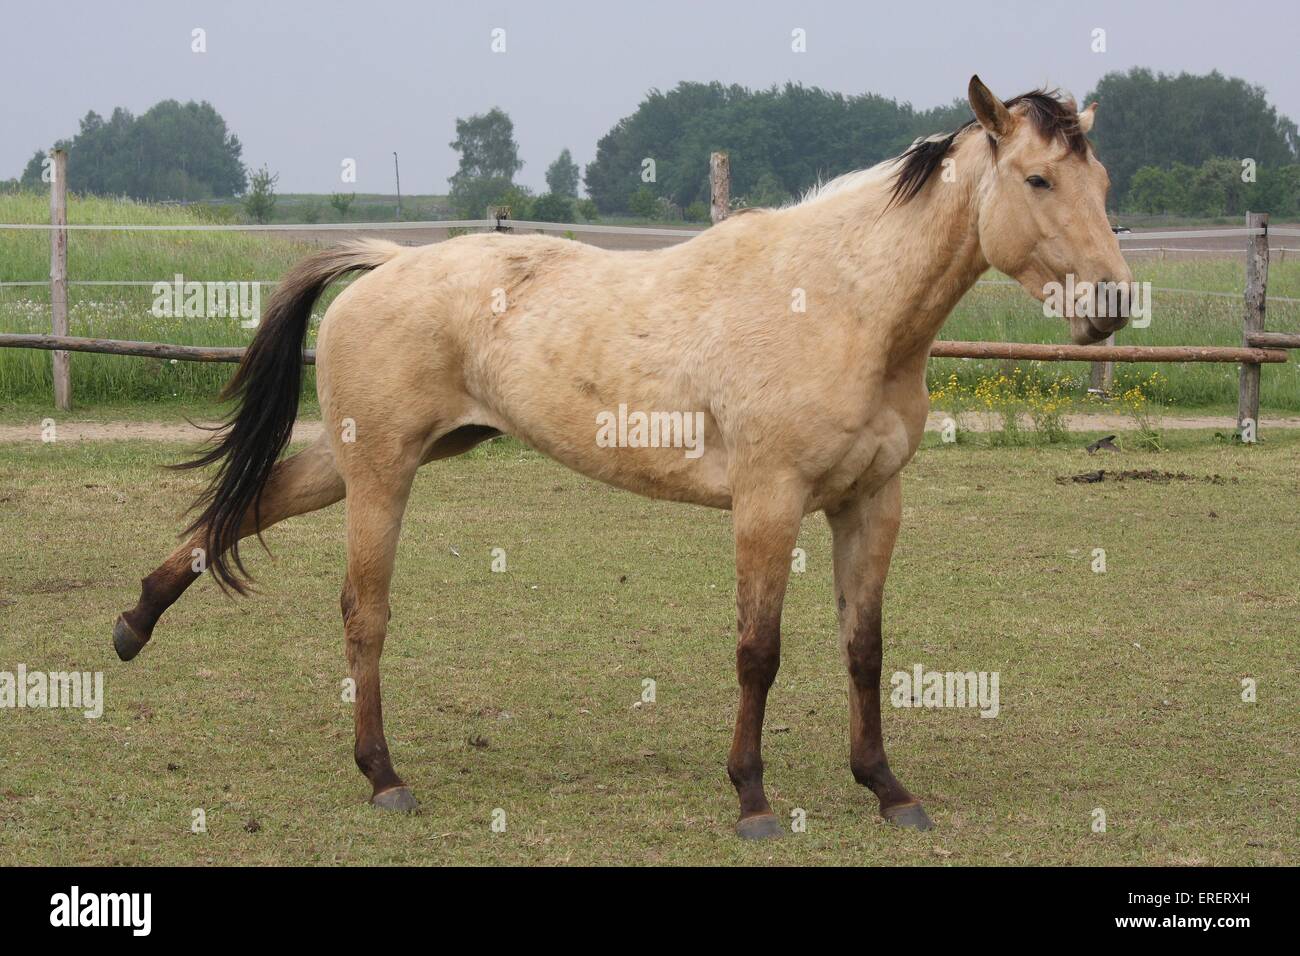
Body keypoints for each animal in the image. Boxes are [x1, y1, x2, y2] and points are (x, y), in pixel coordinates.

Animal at [113, 76, 1130, 839]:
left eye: (1105, 182)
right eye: (1038, 180)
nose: (1112, 304)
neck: (837, 303)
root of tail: (384, 261)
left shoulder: (871, 502)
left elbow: (864, 649)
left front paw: (887, 790)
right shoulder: (769, 501)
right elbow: (758, 651)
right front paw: (752, 800)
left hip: (370, 460)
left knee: (244, 507)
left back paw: (135, 621)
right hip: (382, 475)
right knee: (364, 615)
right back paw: (383, 777)